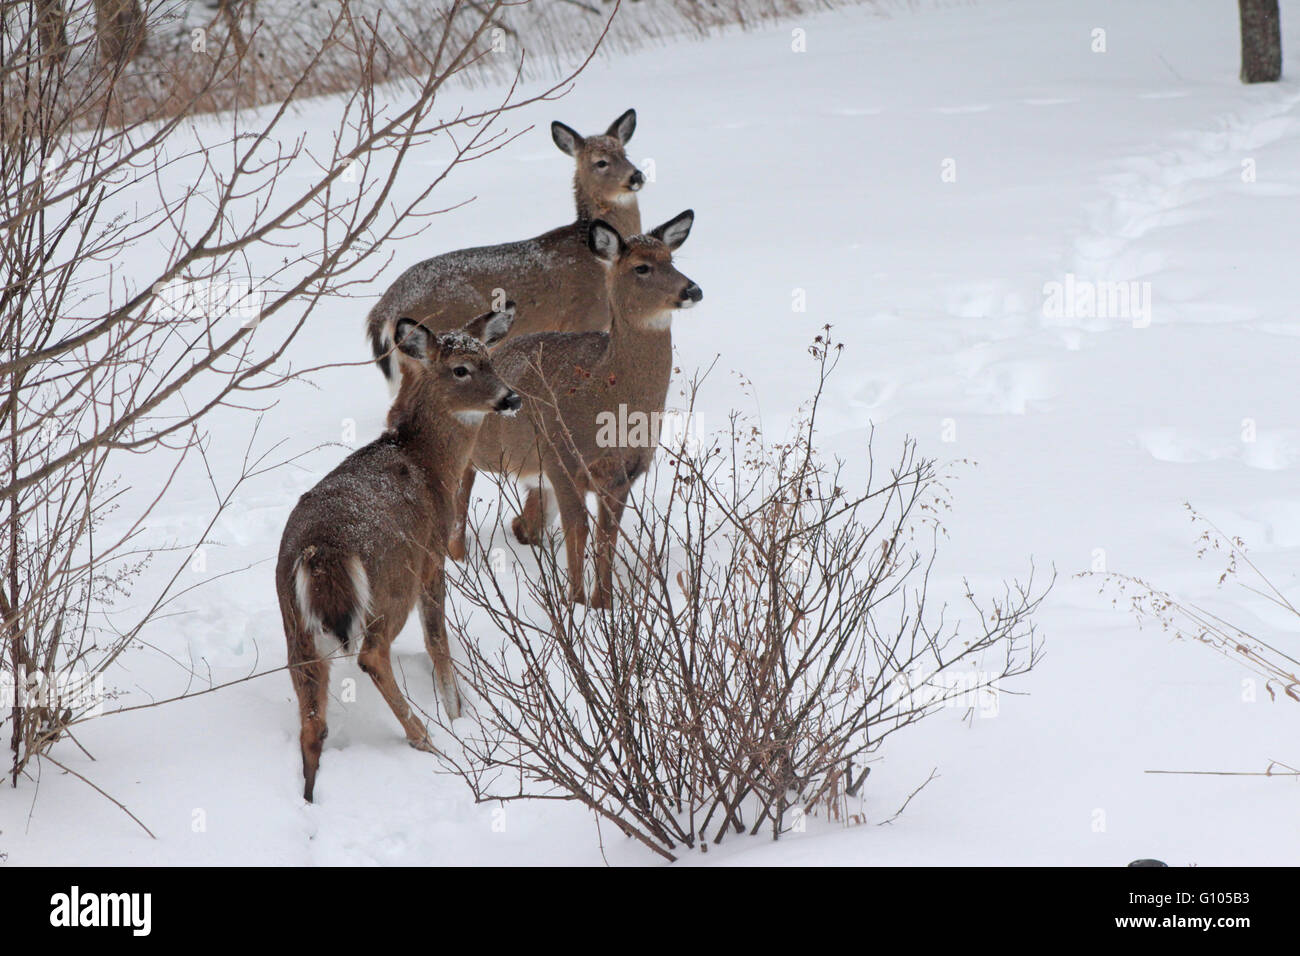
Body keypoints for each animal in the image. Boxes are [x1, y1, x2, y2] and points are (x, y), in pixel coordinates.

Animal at [276, 306, 520, 803]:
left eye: (489, 358)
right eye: (460, 369)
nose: (511, 397)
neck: (430, 463)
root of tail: (321, 550)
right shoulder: (432, 556)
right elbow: (437, 639)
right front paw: (456, 712)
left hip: (295, 622)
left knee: (312, 722)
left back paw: (309, 798)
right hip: (390, 584)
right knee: (372, 655)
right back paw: (425, 736)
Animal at [467, 211, 701, 608]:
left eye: (671, 259)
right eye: (641, 267)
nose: (692, 290)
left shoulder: (624, 475)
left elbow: (607, 537)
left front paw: (603, 604)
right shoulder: (562, 459)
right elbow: (579, 532)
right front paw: (575, 603)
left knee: (525, 522)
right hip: (490, 446)